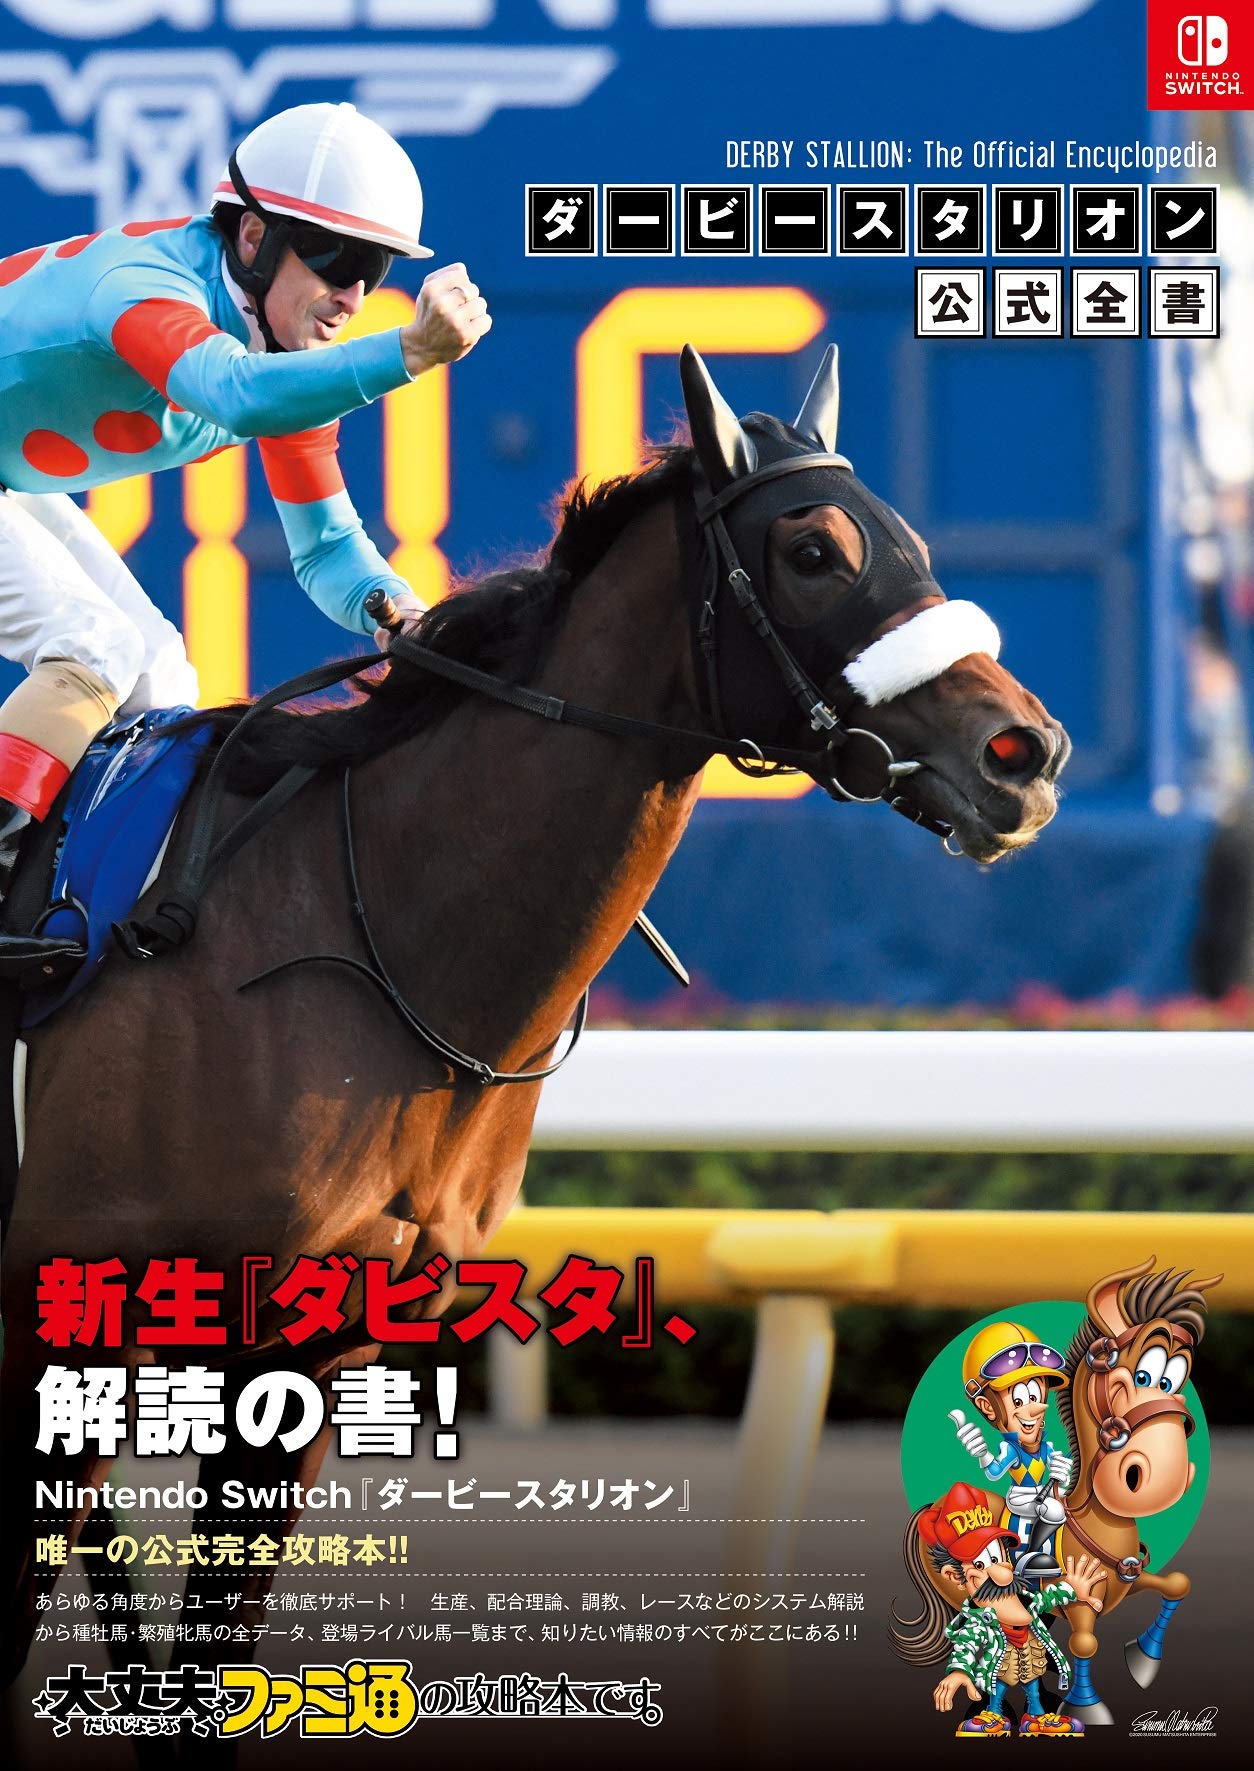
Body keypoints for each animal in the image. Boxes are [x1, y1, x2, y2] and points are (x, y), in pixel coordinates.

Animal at [1, 341, 1069, 1709]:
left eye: (913, 541)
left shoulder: (300, 1359)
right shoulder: (65, 1331)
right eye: (815, 551)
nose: (1026, 753)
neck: (364, 923)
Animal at [891, 1258, 1222, 1725]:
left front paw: (1144, 1659)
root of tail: (932, 1507)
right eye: (1140, 1374)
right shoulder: (1082, 1602)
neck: (1100, 1525)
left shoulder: (1130, 1575)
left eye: (1173, 1380)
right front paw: (1087, 1707)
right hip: (963, 1588)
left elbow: (1177, 1583)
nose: (1164, 1480)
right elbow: (1085, 1641)